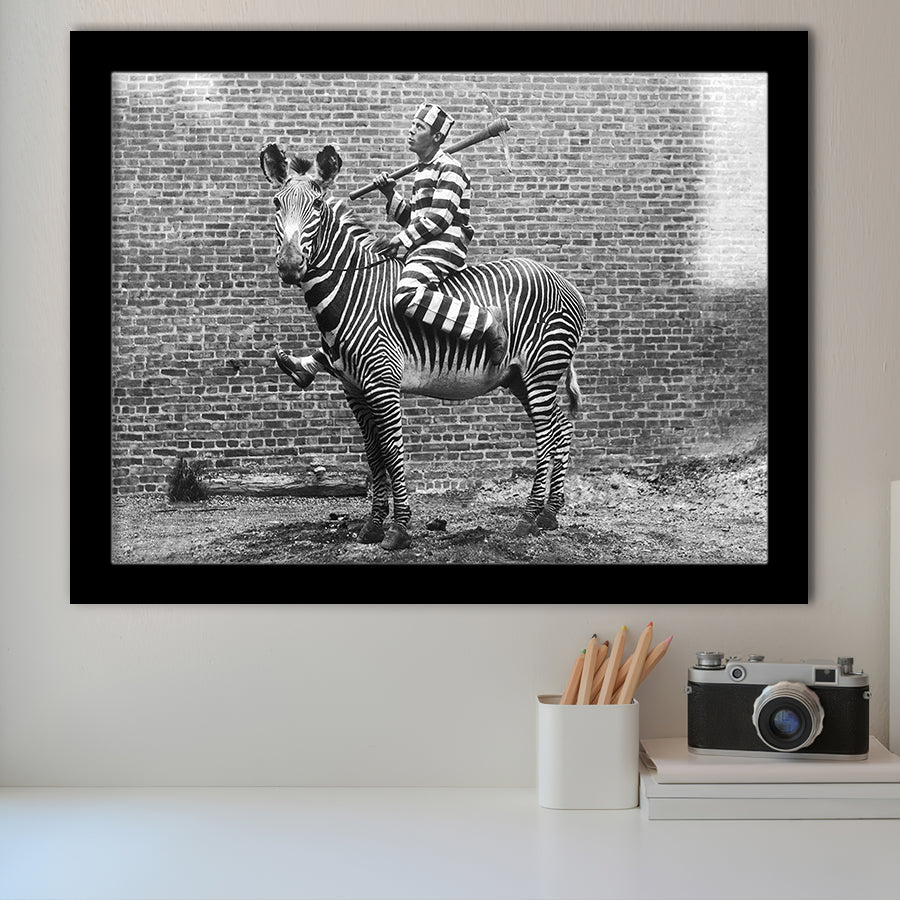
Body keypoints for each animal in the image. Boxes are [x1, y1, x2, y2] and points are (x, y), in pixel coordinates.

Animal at [260, 143, 586, 551]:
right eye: (276, 202)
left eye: (317, 205)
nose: (290, 266)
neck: (352, 291)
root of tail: (564, 280)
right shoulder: (354, 390)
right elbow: (374, 457)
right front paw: (373, 526)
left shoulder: (382, 384)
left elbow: (392, 451)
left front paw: (399, 529)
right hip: (520, 378)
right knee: (561, 428)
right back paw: (550, 513)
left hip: (541, 370)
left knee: (546, 434)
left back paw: (529, 517)